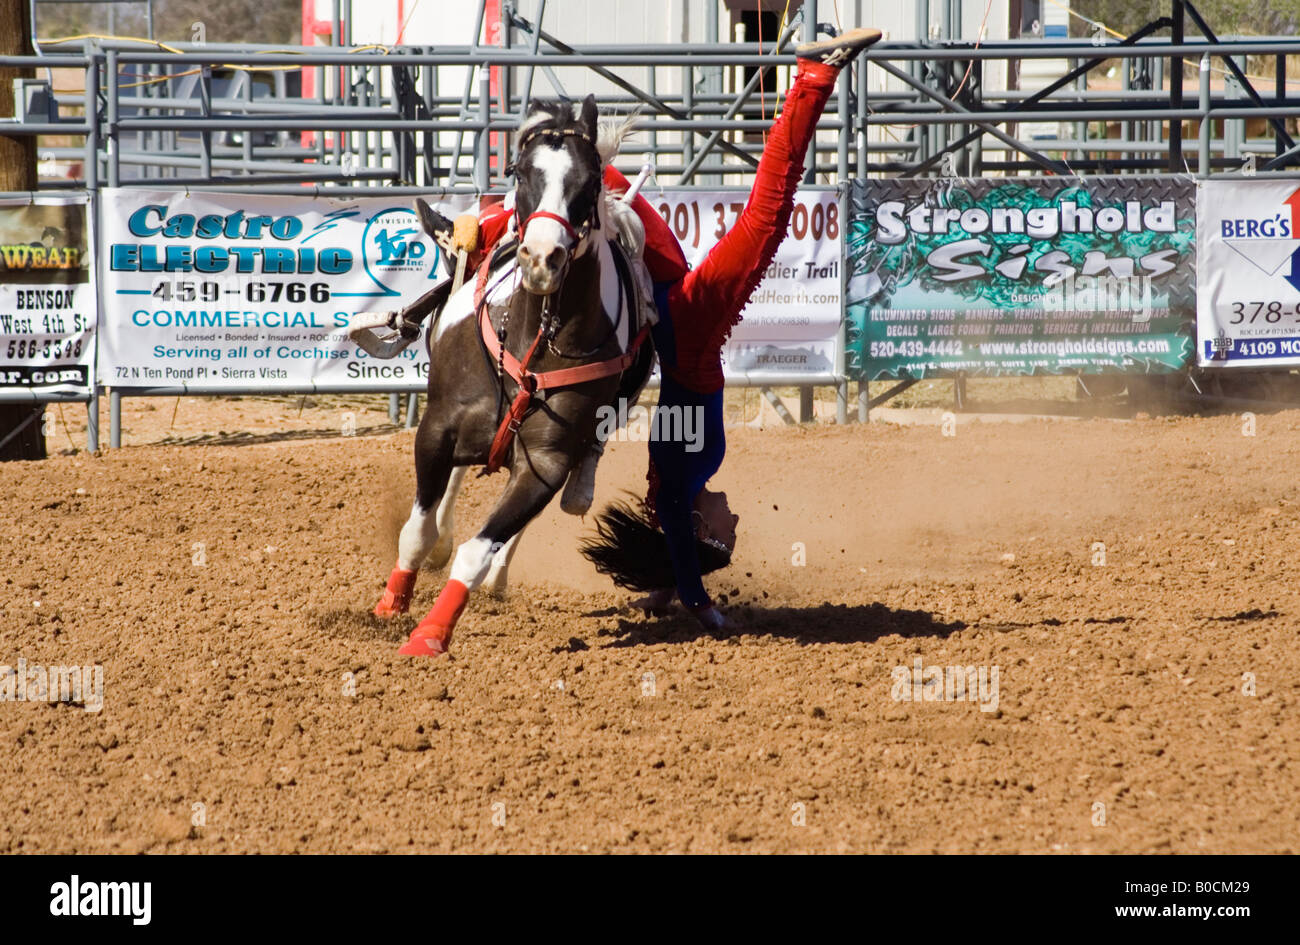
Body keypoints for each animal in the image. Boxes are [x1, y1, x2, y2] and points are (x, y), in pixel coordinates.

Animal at [350, 95, 656, 657]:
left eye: (589, 180)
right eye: (521, 172)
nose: (541, 258)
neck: (531, 344)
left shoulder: (546, 462)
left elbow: (480, 548)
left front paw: (431, 634)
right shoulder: (437, 429)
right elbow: (417, 532)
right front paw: (391, 604)